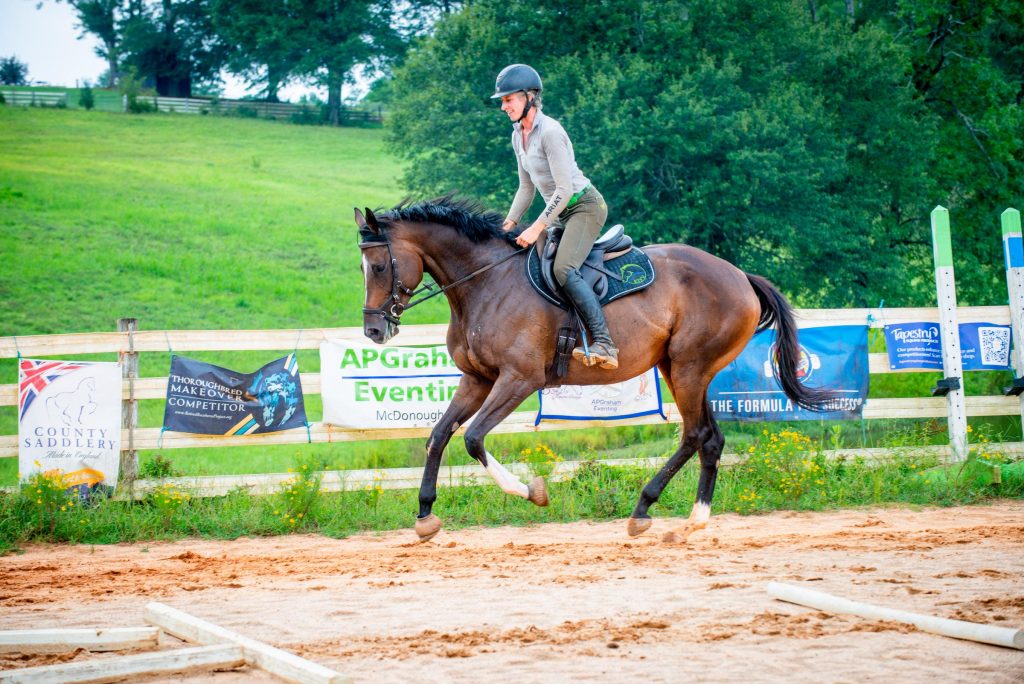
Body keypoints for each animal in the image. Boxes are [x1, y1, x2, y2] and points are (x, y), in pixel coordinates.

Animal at [355, 197, 833, 543]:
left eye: (378, 266)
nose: (374, 330)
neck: (485, 284)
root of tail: (740, 276)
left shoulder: (518, 380)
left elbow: (473, 439)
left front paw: (533, 492)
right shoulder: (478, 380)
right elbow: (439, 436)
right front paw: (425, 516)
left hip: (690, 367)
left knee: (695, 434)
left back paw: (643, 510)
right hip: (679, 370)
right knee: (710, 439)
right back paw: (693, 522)